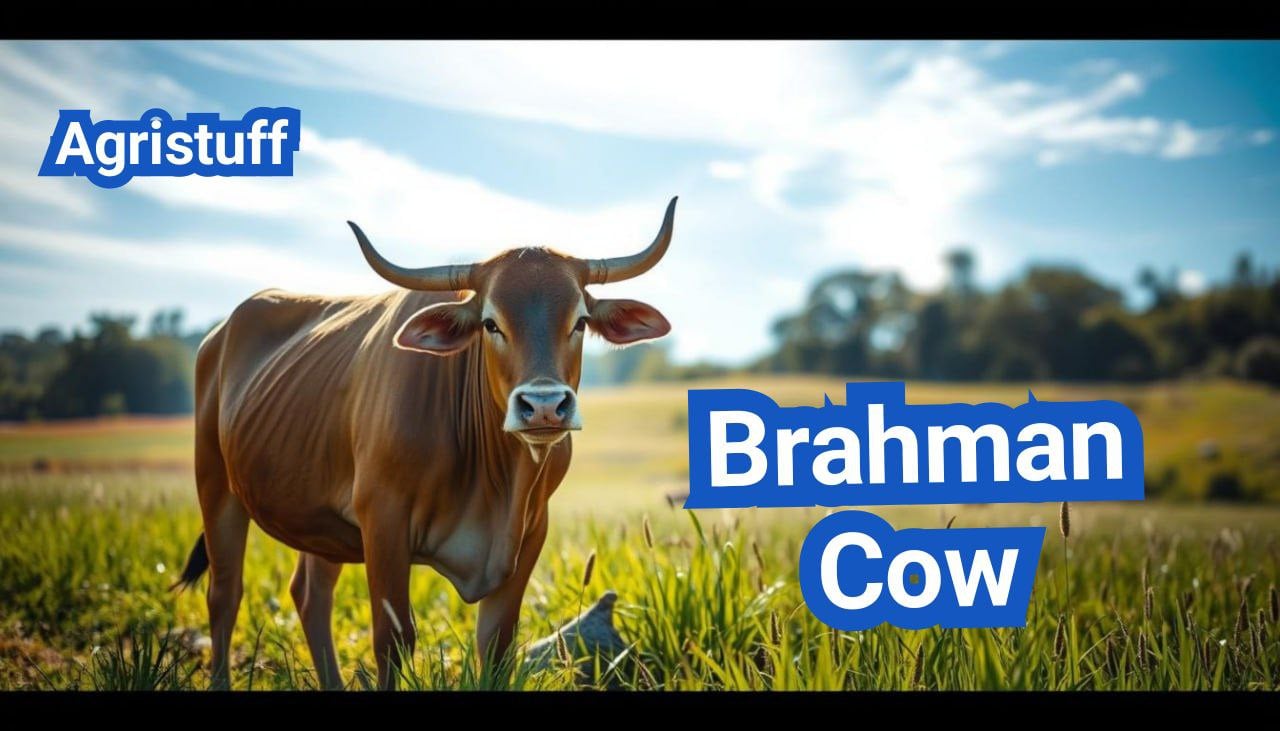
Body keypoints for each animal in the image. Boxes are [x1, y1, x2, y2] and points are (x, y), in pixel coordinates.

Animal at [172, 198, 678, 690]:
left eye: (580, 321)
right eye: (491, 324)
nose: (545, 405)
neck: (496, 483)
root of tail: (221, 332)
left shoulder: (530, 533)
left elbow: (496, 647)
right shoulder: (383, 521)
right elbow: (392, 640)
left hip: (317, 522)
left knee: (310, 593)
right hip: (216, 486)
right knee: (225, 594)